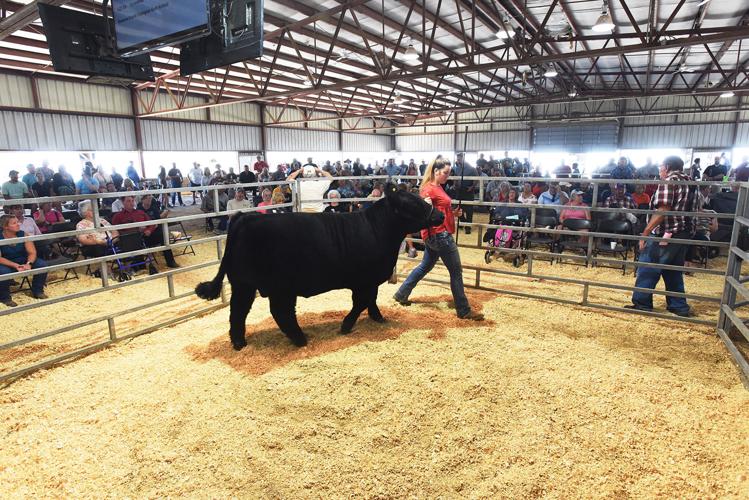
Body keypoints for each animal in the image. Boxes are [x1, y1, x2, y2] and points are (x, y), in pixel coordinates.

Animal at [195, 183, 445, 350]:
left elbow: (371, 300)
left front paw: (378, 317)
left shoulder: (371, 279)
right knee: (277, 312)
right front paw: (346, 326)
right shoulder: (363, 280)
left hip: (245, 284)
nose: (440, 215)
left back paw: (239, 342)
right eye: (411, 204)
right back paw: (299, 339)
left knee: (239, 311)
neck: (376, 228)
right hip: (276, 286)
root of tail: (244, 218)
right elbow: (361, 302)